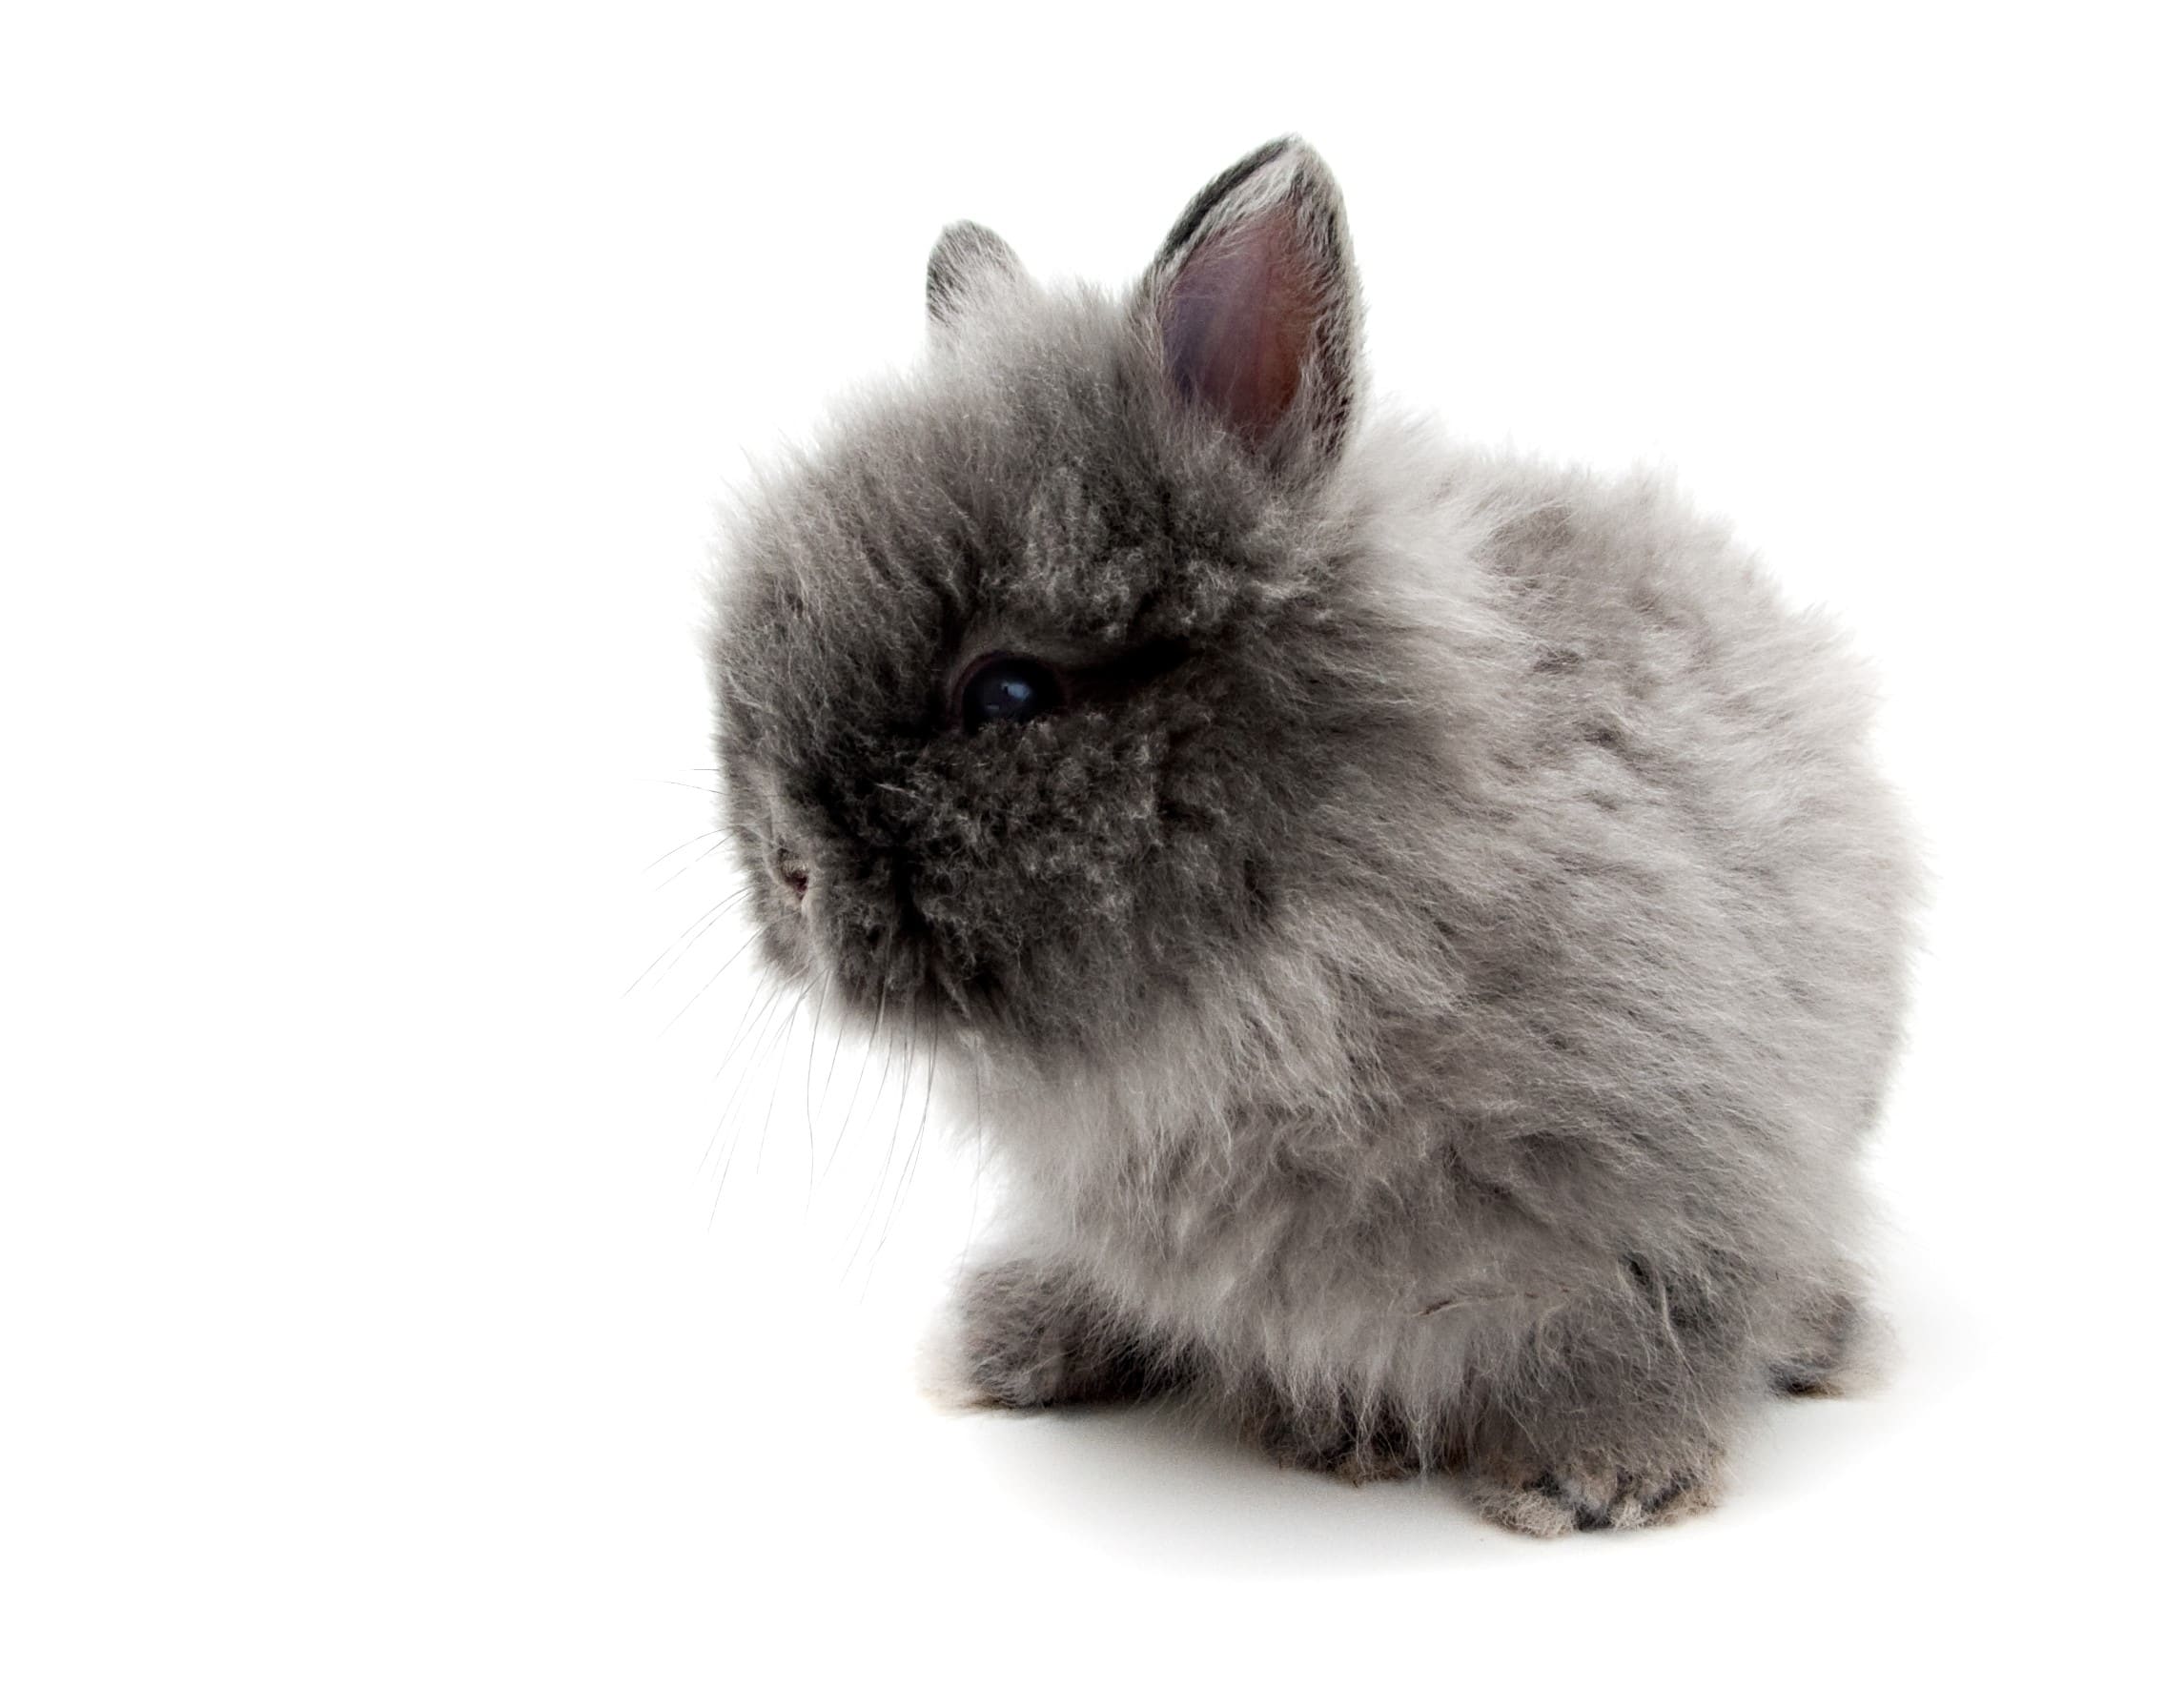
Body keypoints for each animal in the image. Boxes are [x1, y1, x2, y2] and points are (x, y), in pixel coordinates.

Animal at [707, 137, 1920, 1535]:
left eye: (1008, 693)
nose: (790, 871)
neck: (1289, 964)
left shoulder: (1701, 1167)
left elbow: (1665, 1320)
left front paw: (1595, 1478)